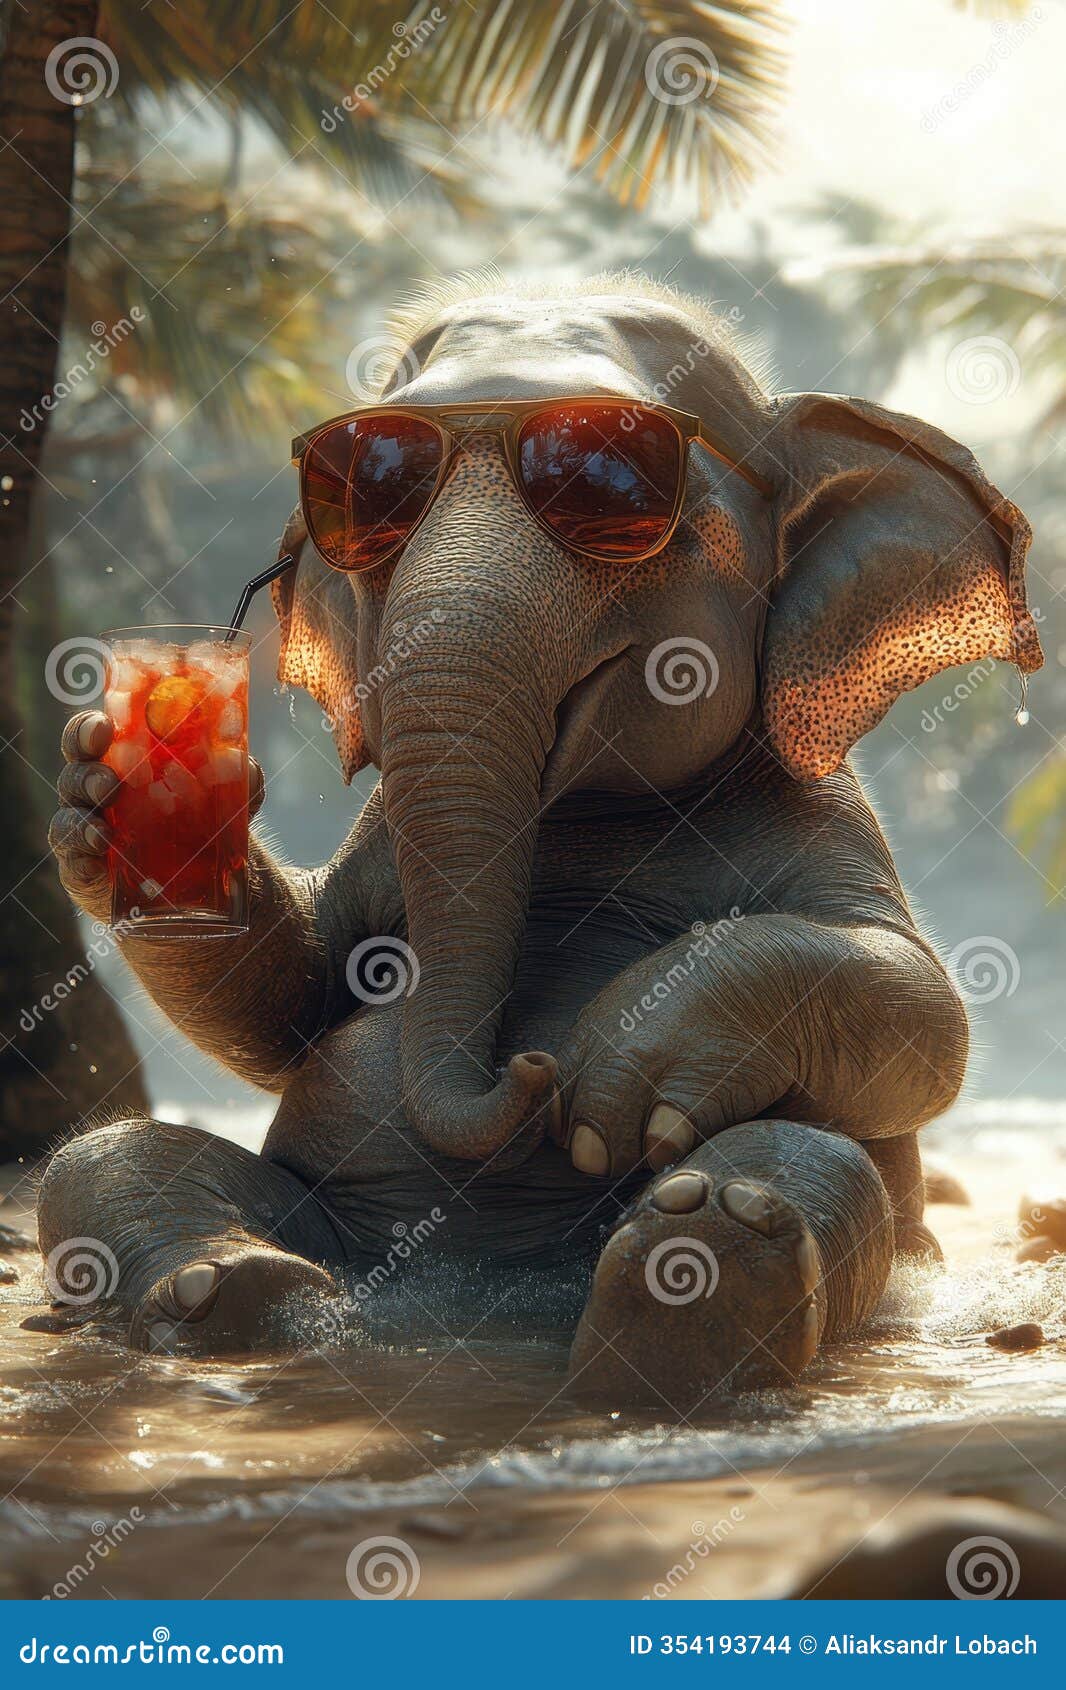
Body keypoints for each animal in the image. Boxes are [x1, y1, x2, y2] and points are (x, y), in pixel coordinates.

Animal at [40, 272, 1043, 1409]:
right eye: (370, 490)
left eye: (612, 481)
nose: (529, 1068)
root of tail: (469, 1301)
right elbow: (293, 1004)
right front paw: (98, 791)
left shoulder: (825, 815)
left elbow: (921, 1005)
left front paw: (608, 1077)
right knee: (107, 1162)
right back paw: (238, 1292)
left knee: (807, 1158)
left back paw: (686, 1285)